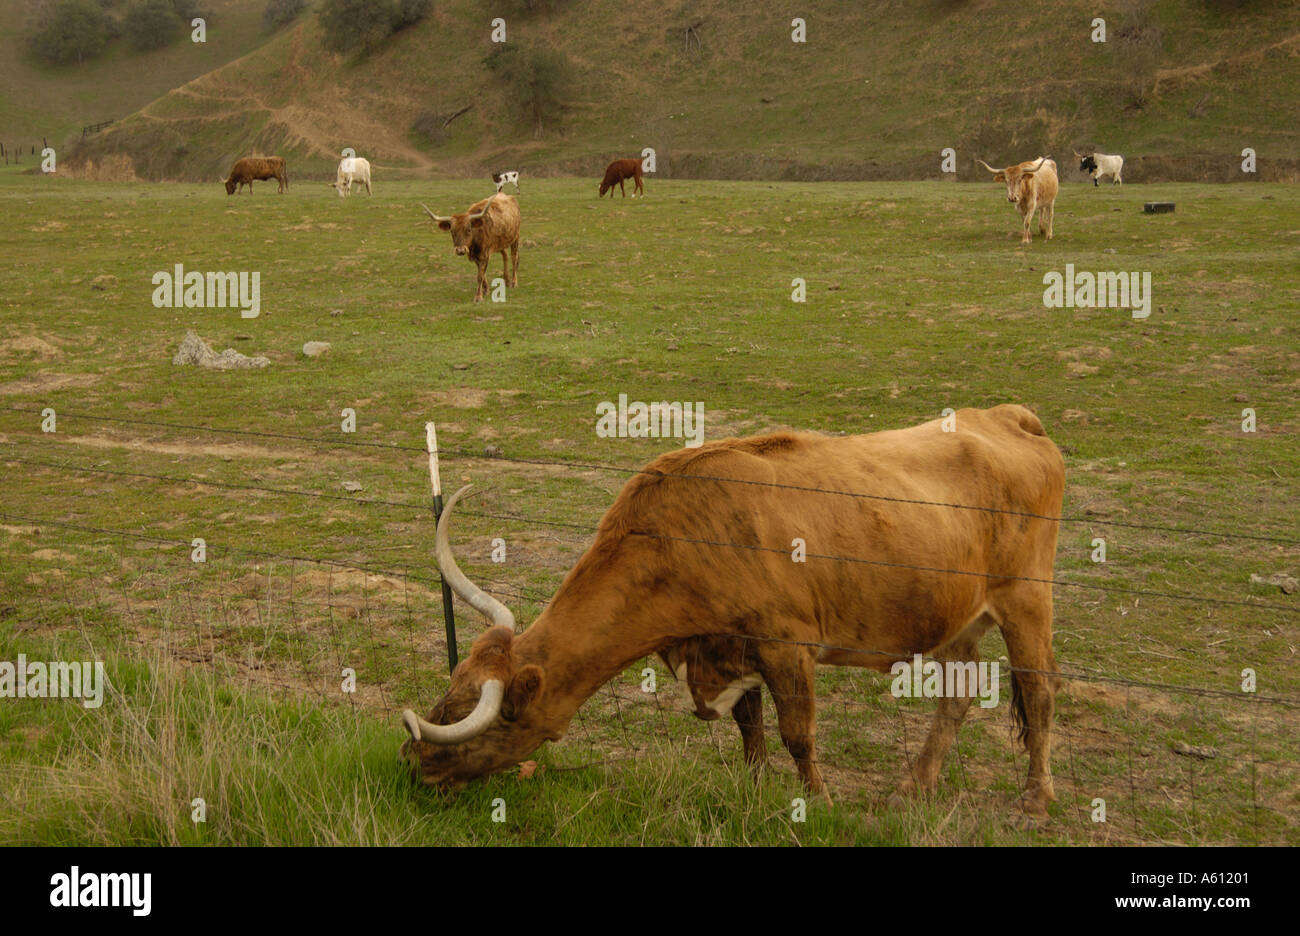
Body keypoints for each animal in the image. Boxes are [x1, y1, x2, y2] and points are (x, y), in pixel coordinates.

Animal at [400, 404, 1066, 819]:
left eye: (476, 722)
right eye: (450, 695)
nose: (412, 764)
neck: (682, 536)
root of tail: (1007, 417)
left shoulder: (787, 646)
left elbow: (798, 734)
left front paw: (818, 805)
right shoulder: (728, 646)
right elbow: (751, 729)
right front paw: (752, 791)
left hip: (1028, 598)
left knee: (1039, 694)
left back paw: (1035, 801)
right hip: (956, 618)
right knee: (956, 698)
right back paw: (912, 788)